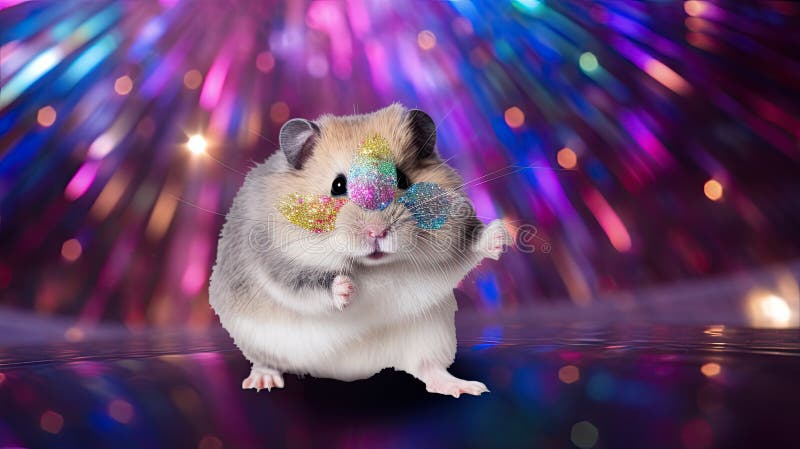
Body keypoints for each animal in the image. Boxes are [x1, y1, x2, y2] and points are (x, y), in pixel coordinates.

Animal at [209, 104, 510, 397]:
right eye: (338, 185)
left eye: (402, 179)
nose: (377, 232)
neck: (373, 266)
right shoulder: (274, 265)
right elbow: (305, 284)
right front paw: (348, 288)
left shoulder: (445, 259)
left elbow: (465, 254)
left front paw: (501, 234)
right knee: (266, 361)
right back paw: (262, 381)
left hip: (432, 337)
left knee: (429, 369)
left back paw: (468, 388)